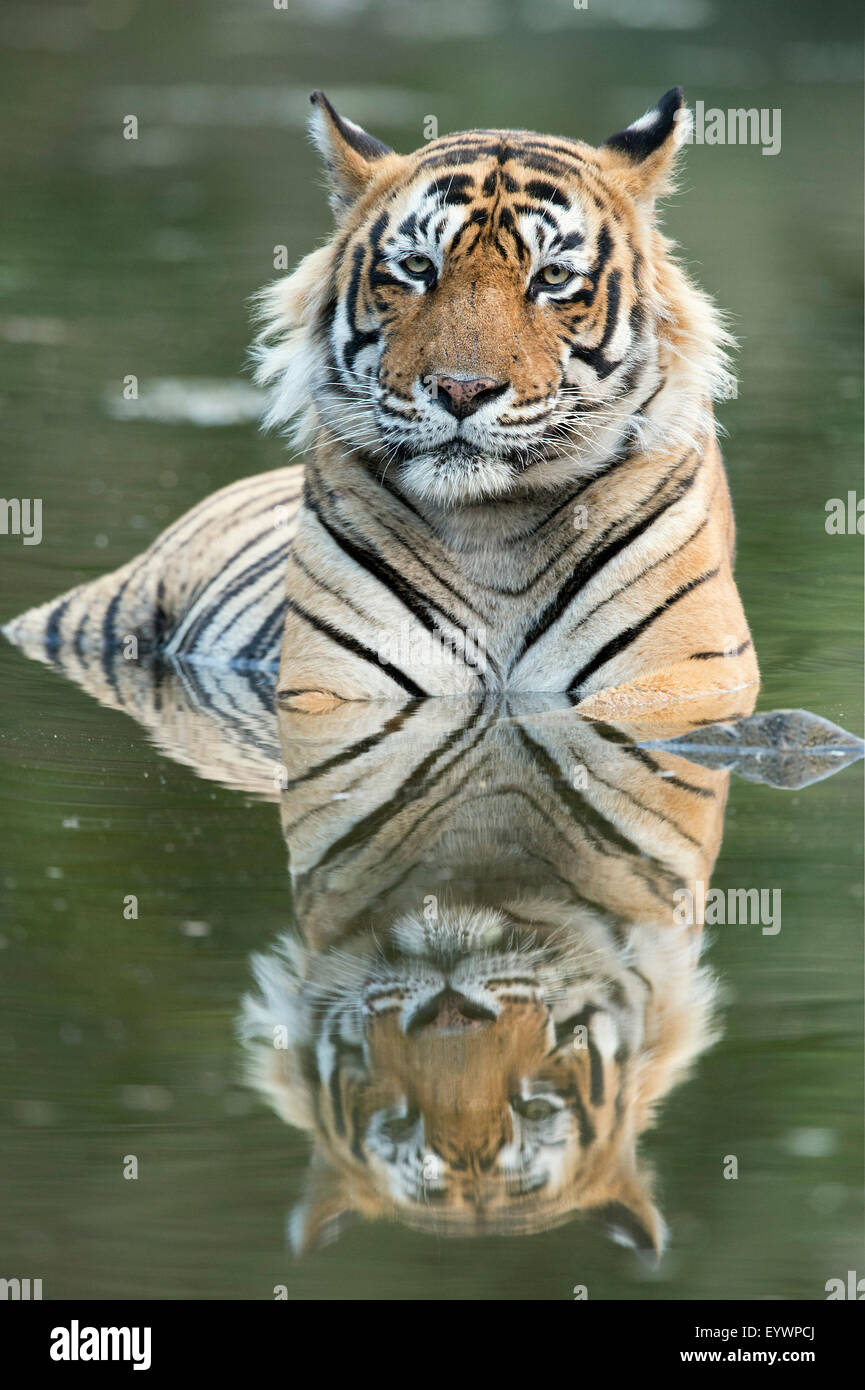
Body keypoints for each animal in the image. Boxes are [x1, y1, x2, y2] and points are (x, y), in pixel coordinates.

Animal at [4, 87, 759, 725]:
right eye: (419, 268)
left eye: (550, 278)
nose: (461, 389)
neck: (493, 531)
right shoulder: (331, 685)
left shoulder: (687, 672)